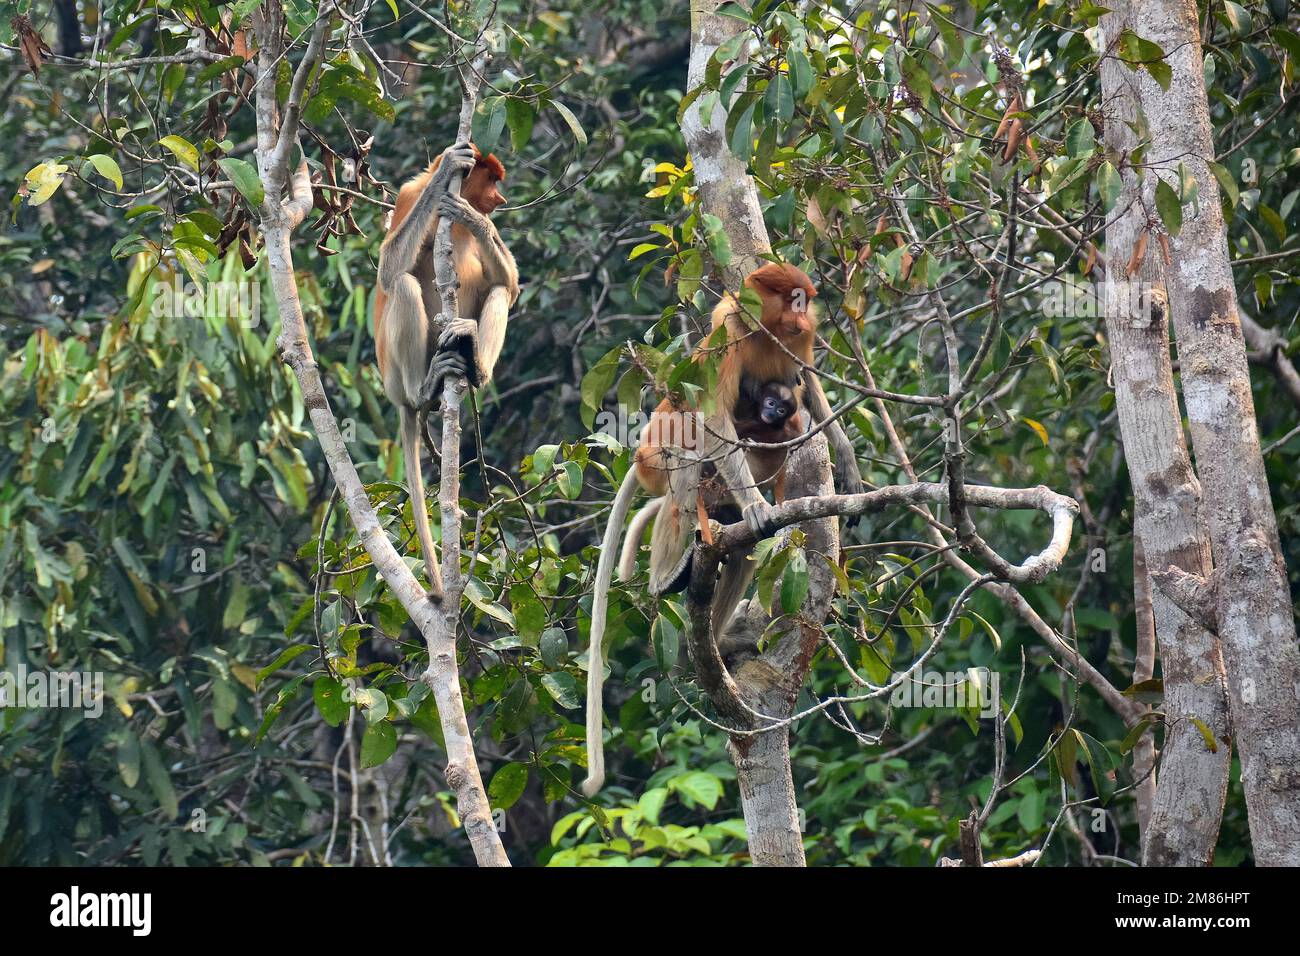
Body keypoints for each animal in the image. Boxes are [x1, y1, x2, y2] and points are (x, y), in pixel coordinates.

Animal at [374, 142, 519, 601]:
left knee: (498, 289)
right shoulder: (407, 196)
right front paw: (450, 168)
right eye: (492, 181)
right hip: (392, 372)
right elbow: (389, 268)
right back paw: (425, 389)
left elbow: (511, 285)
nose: (500, 200)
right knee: (401, 283)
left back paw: (472, 363)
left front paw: (471, 217)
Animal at [583, 263, 822, 796]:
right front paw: (757, 505)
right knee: (688, 453)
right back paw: (669, 576)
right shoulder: (728, 336)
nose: (805, 313)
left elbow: (807, 392)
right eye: (793, 298)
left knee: (741, 552)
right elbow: (712, 413)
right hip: (657, 459)